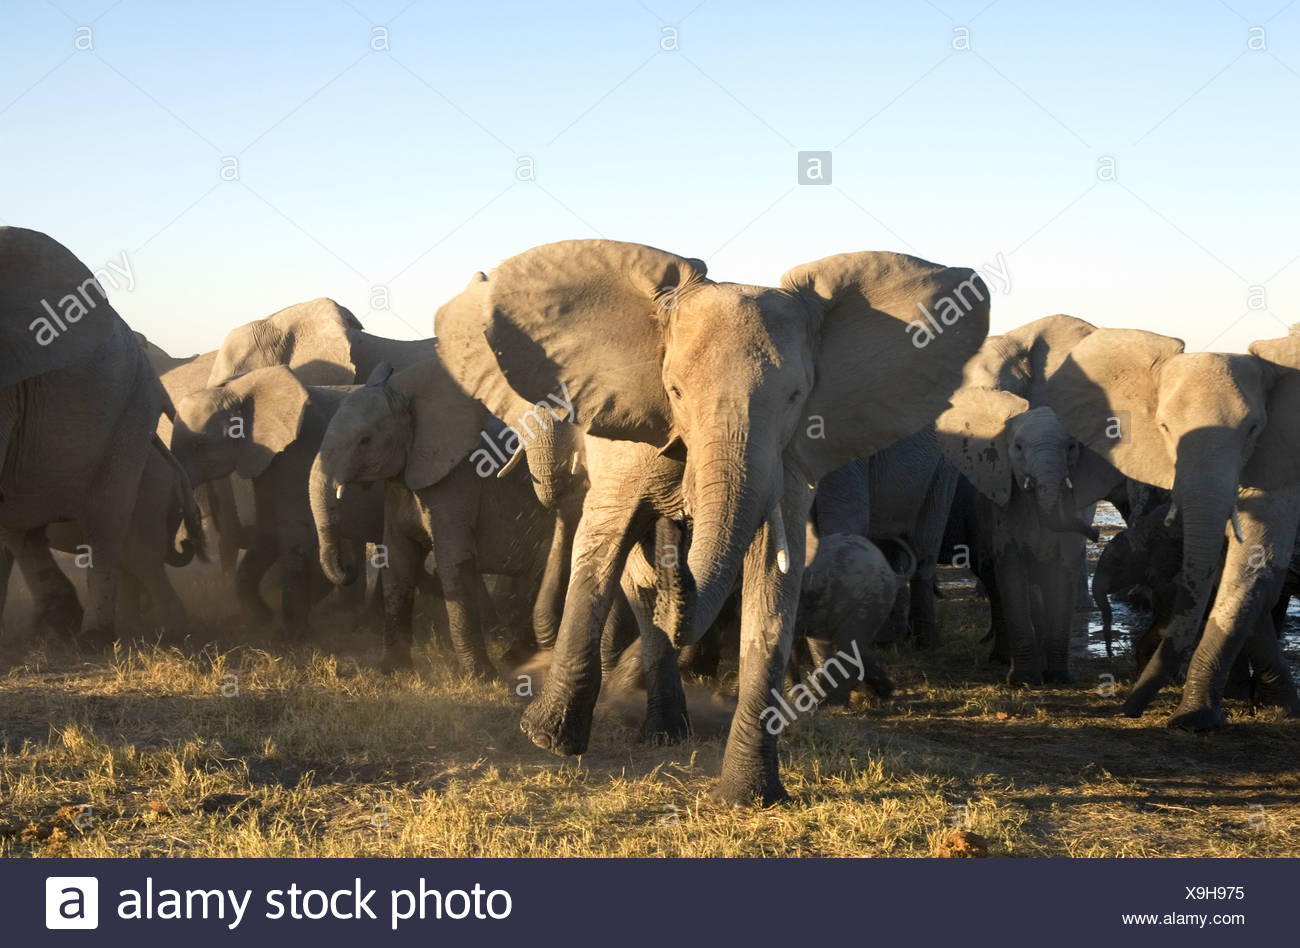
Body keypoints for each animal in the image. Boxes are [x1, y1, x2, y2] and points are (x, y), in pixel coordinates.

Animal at [170, 365, 384, 638]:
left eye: (199, 445)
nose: (188, 543)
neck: (240, 389)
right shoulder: (268, 465)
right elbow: (267, 534)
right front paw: (262, 618)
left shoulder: (298, 457)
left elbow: (293, 538)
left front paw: (295, 637)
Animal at [309, 359, 562, 679]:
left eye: (365, 441)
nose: (348, 568)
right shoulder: (400, 482)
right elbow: (399, 555)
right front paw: (391, 669)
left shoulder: (457, 482)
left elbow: (452, 561)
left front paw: (480, 677)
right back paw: (514, 656)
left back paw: (513, 657)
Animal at [434, 239, 989, 804]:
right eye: (675, 391)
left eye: (795, 397)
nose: (675, 523)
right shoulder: (626, 433)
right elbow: (604, 543)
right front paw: (547, 739)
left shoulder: (789, 453)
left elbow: (773, 580)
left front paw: (750, 796)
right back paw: (657, 725)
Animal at [1046, 328, 1300, 726]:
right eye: (1164, 427)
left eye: (1253, 429)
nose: (1127, 709)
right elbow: (1239, 571)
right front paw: (1273, 709)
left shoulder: (1278, 457)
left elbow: (1255, 563)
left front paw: (1195, 721)